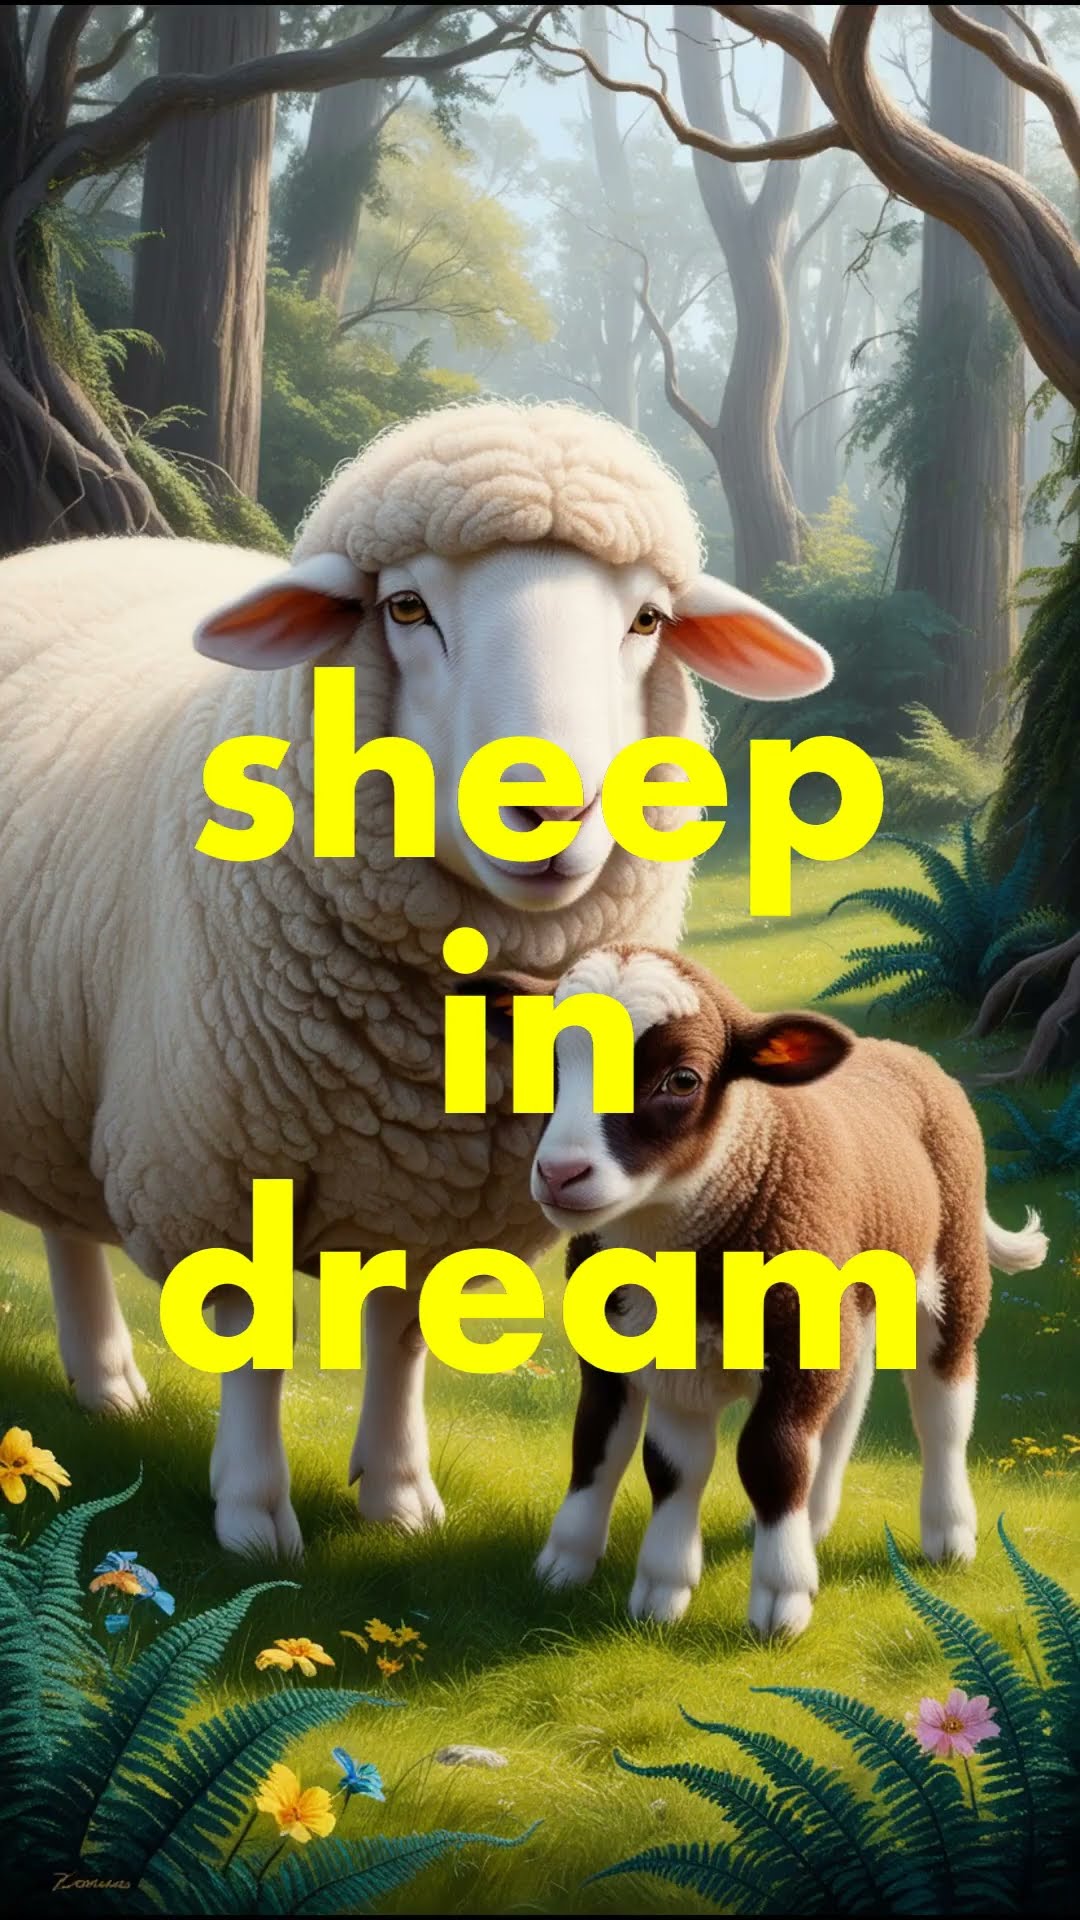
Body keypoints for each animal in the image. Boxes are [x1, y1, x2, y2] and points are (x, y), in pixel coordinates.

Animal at [0, 400, 833, 1558]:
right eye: (405, 606)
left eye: (648, 621)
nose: (546, 811)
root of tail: (71, 548)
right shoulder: (215, 1167)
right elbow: (254, 1348)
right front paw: (253, 1512)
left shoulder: (443, 1196)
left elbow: (399, 1338)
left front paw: (397, 1498)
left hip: (58, 1066)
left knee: (63, 1220)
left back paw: (107, 1383)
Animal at [499, 944, 1049, 1637]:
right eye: (538, 1064)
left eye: (682, 1080)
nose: (561, 1173)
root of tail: (900, 1051)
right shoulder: (650, 1355)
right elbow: (642, 1455)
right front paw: (645, 1586)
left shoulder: (793, 1353)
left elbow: (772, 1457)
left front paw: (780, 1599)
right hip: (845, 1306)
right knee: (847, 1404)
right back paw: (814, 1522)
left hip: (950, 1267)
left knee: (942, 1406)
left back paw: (948, 1535)